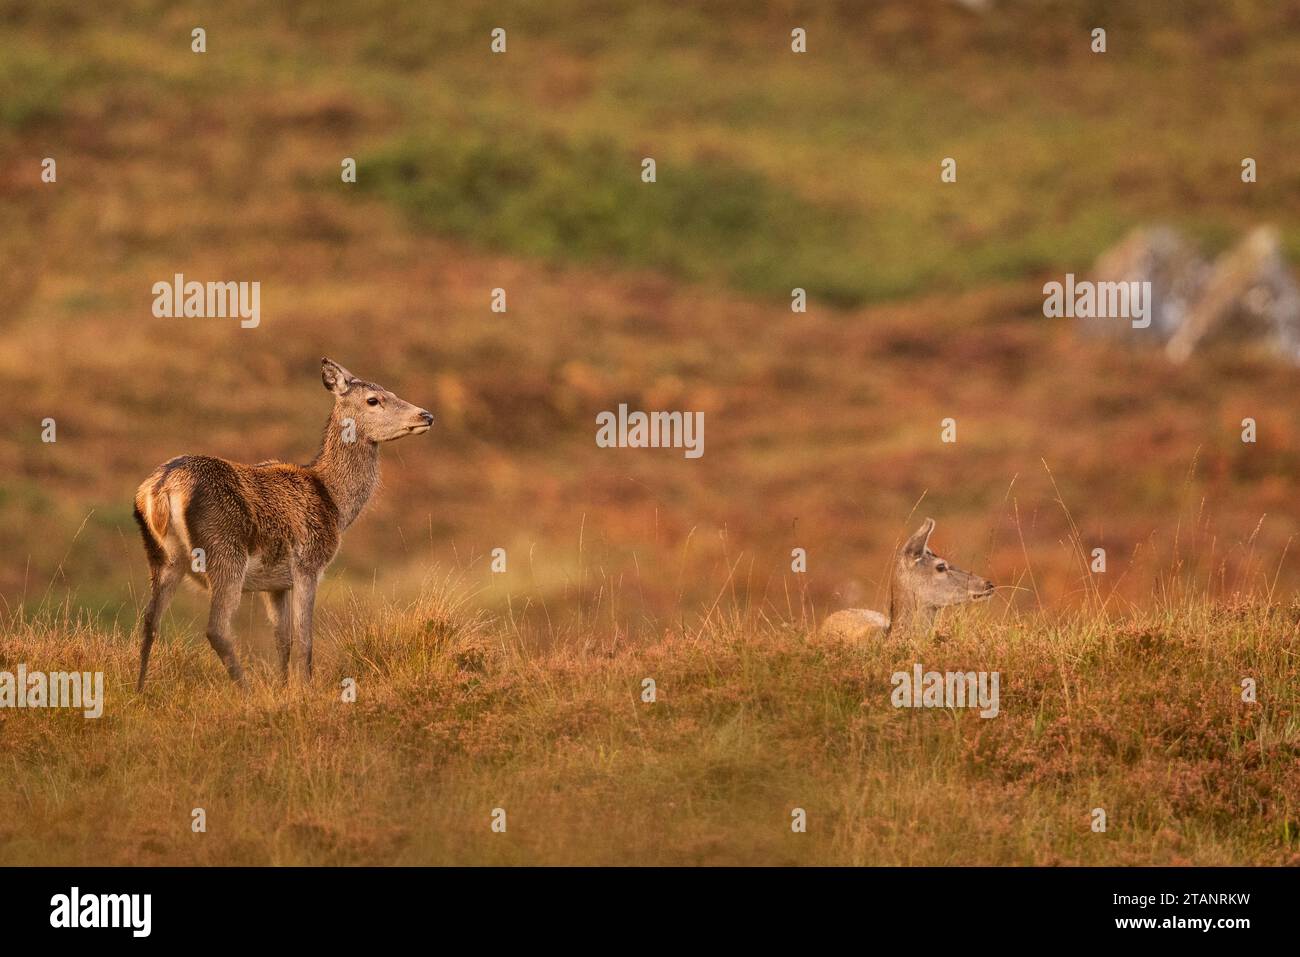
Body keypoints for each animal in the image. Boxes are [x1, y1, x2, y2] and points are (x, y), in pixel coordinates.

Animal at [132, 358, 433, 691]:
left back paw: (140, 690)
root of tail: (161, 489)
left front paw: (282, 687)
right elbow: (304, 640)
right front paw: (305, 690)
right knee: (216, 629)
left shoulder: (275, 584)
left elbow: (283, 641)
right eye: (373, 399)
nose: (426, 415)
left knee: (149, 621)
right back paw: (246, 691)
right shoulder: (308, 564)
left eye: (391, 391)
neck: (335, 503)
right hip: (224, 551)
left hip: (162, 557)